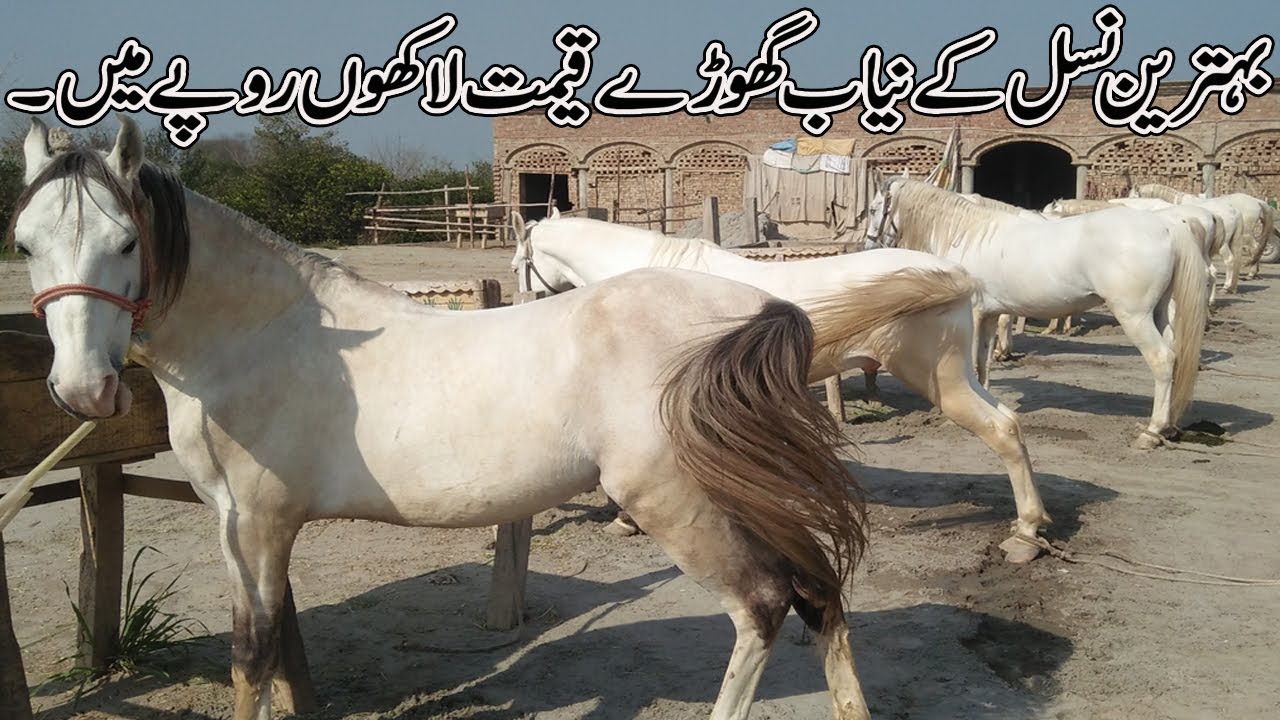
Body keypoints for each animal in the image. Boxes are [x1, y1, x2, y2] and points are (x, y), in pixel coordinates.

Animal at [12, 116, 887, 720]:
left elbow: (255, 656)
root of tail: (752, 308)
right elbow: (247, 654)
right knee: (818, 591)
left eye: (127, 243)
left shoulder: (260, 524)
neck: (260, 336)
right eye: (23, 243)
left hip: (681, 505)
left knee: (763, 606)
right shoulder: (231, 526)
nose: (84, 391)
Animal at [511, 211, 1052, 562]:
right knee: (1010, 422)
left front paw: (626, 519)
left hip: (939, 380)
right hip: (959, 376)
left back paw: (1024, 535)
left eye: (519, 263)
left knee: (1000, 433)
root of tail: (954, 274)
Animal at [866, 178, 1211, 450]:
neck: (965, 235)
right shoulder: (988, 315)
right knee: (1175, 355)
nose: (868, 245)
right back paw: (1168, 426)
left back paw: (1151, 432)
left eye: (872, 209)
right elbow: (983, 362)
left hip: (1134, 316)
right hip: (1160, 313)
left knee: (1162, 360)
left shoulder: (972, 315)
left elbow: (971, 366)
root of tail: (1167, 226)